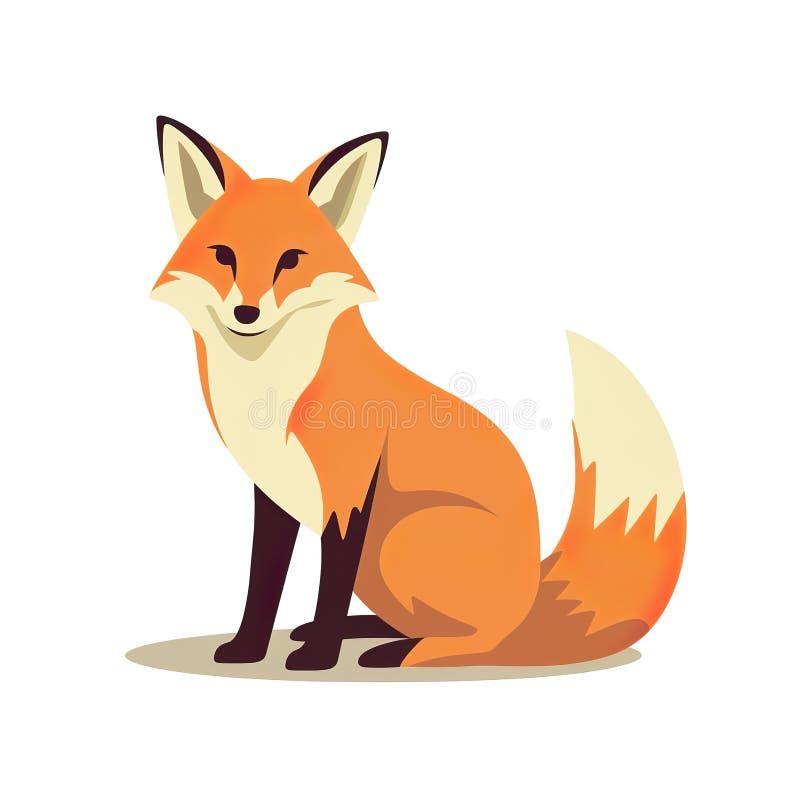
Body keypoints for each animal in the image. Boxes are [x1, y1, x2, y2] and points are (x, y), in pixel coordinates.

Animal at [150, 116, 686, 669]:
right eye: (223, 256)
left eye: (291, 260)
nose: (247, 312)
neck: (273, 392)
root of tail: (534, 597)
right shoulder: (276, 491)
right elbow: (264, 579)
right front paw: (249, 648)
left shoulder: (348, 493)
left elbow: (328, 582)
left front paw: (320, 657)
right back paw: (364, 632)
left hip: (399, 542)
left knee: (480, 641)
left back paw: (394, 652)